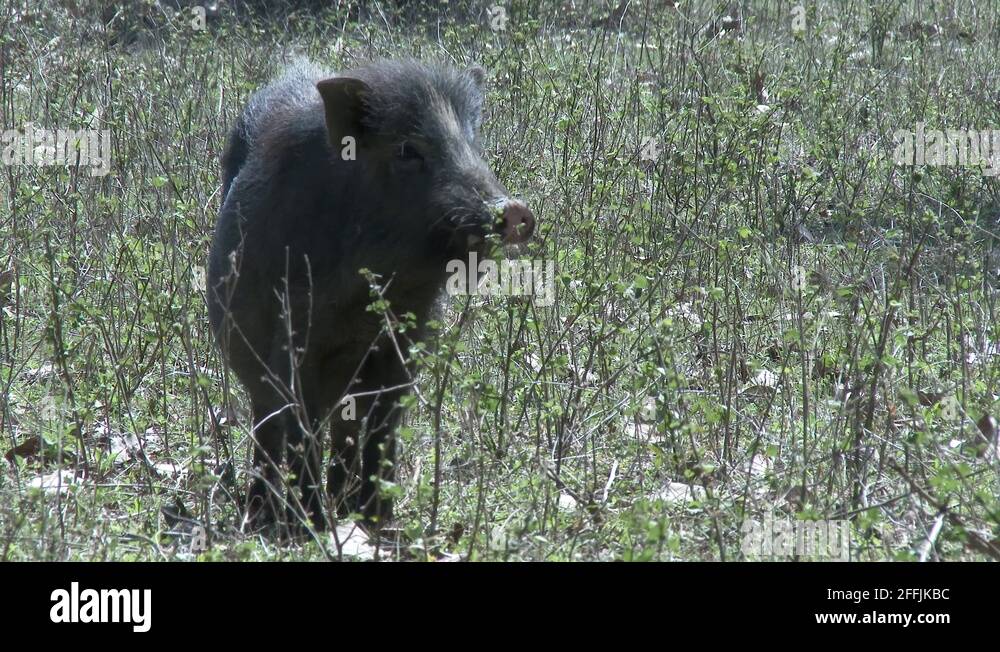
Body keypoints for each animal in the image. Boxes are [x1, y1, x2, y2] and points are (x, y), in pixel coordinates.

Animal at [207, 59, 535, 533]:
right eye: (407, 150)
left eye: (472, 141)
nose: (512, 210)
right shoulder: (295, 340)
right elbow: (301, 426)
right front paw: (312, 526)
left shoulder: (406, 347)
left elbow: (384, 432)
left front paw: (380, 524)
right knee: (268, 427)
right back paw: (263, 513)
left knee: (345, 431)